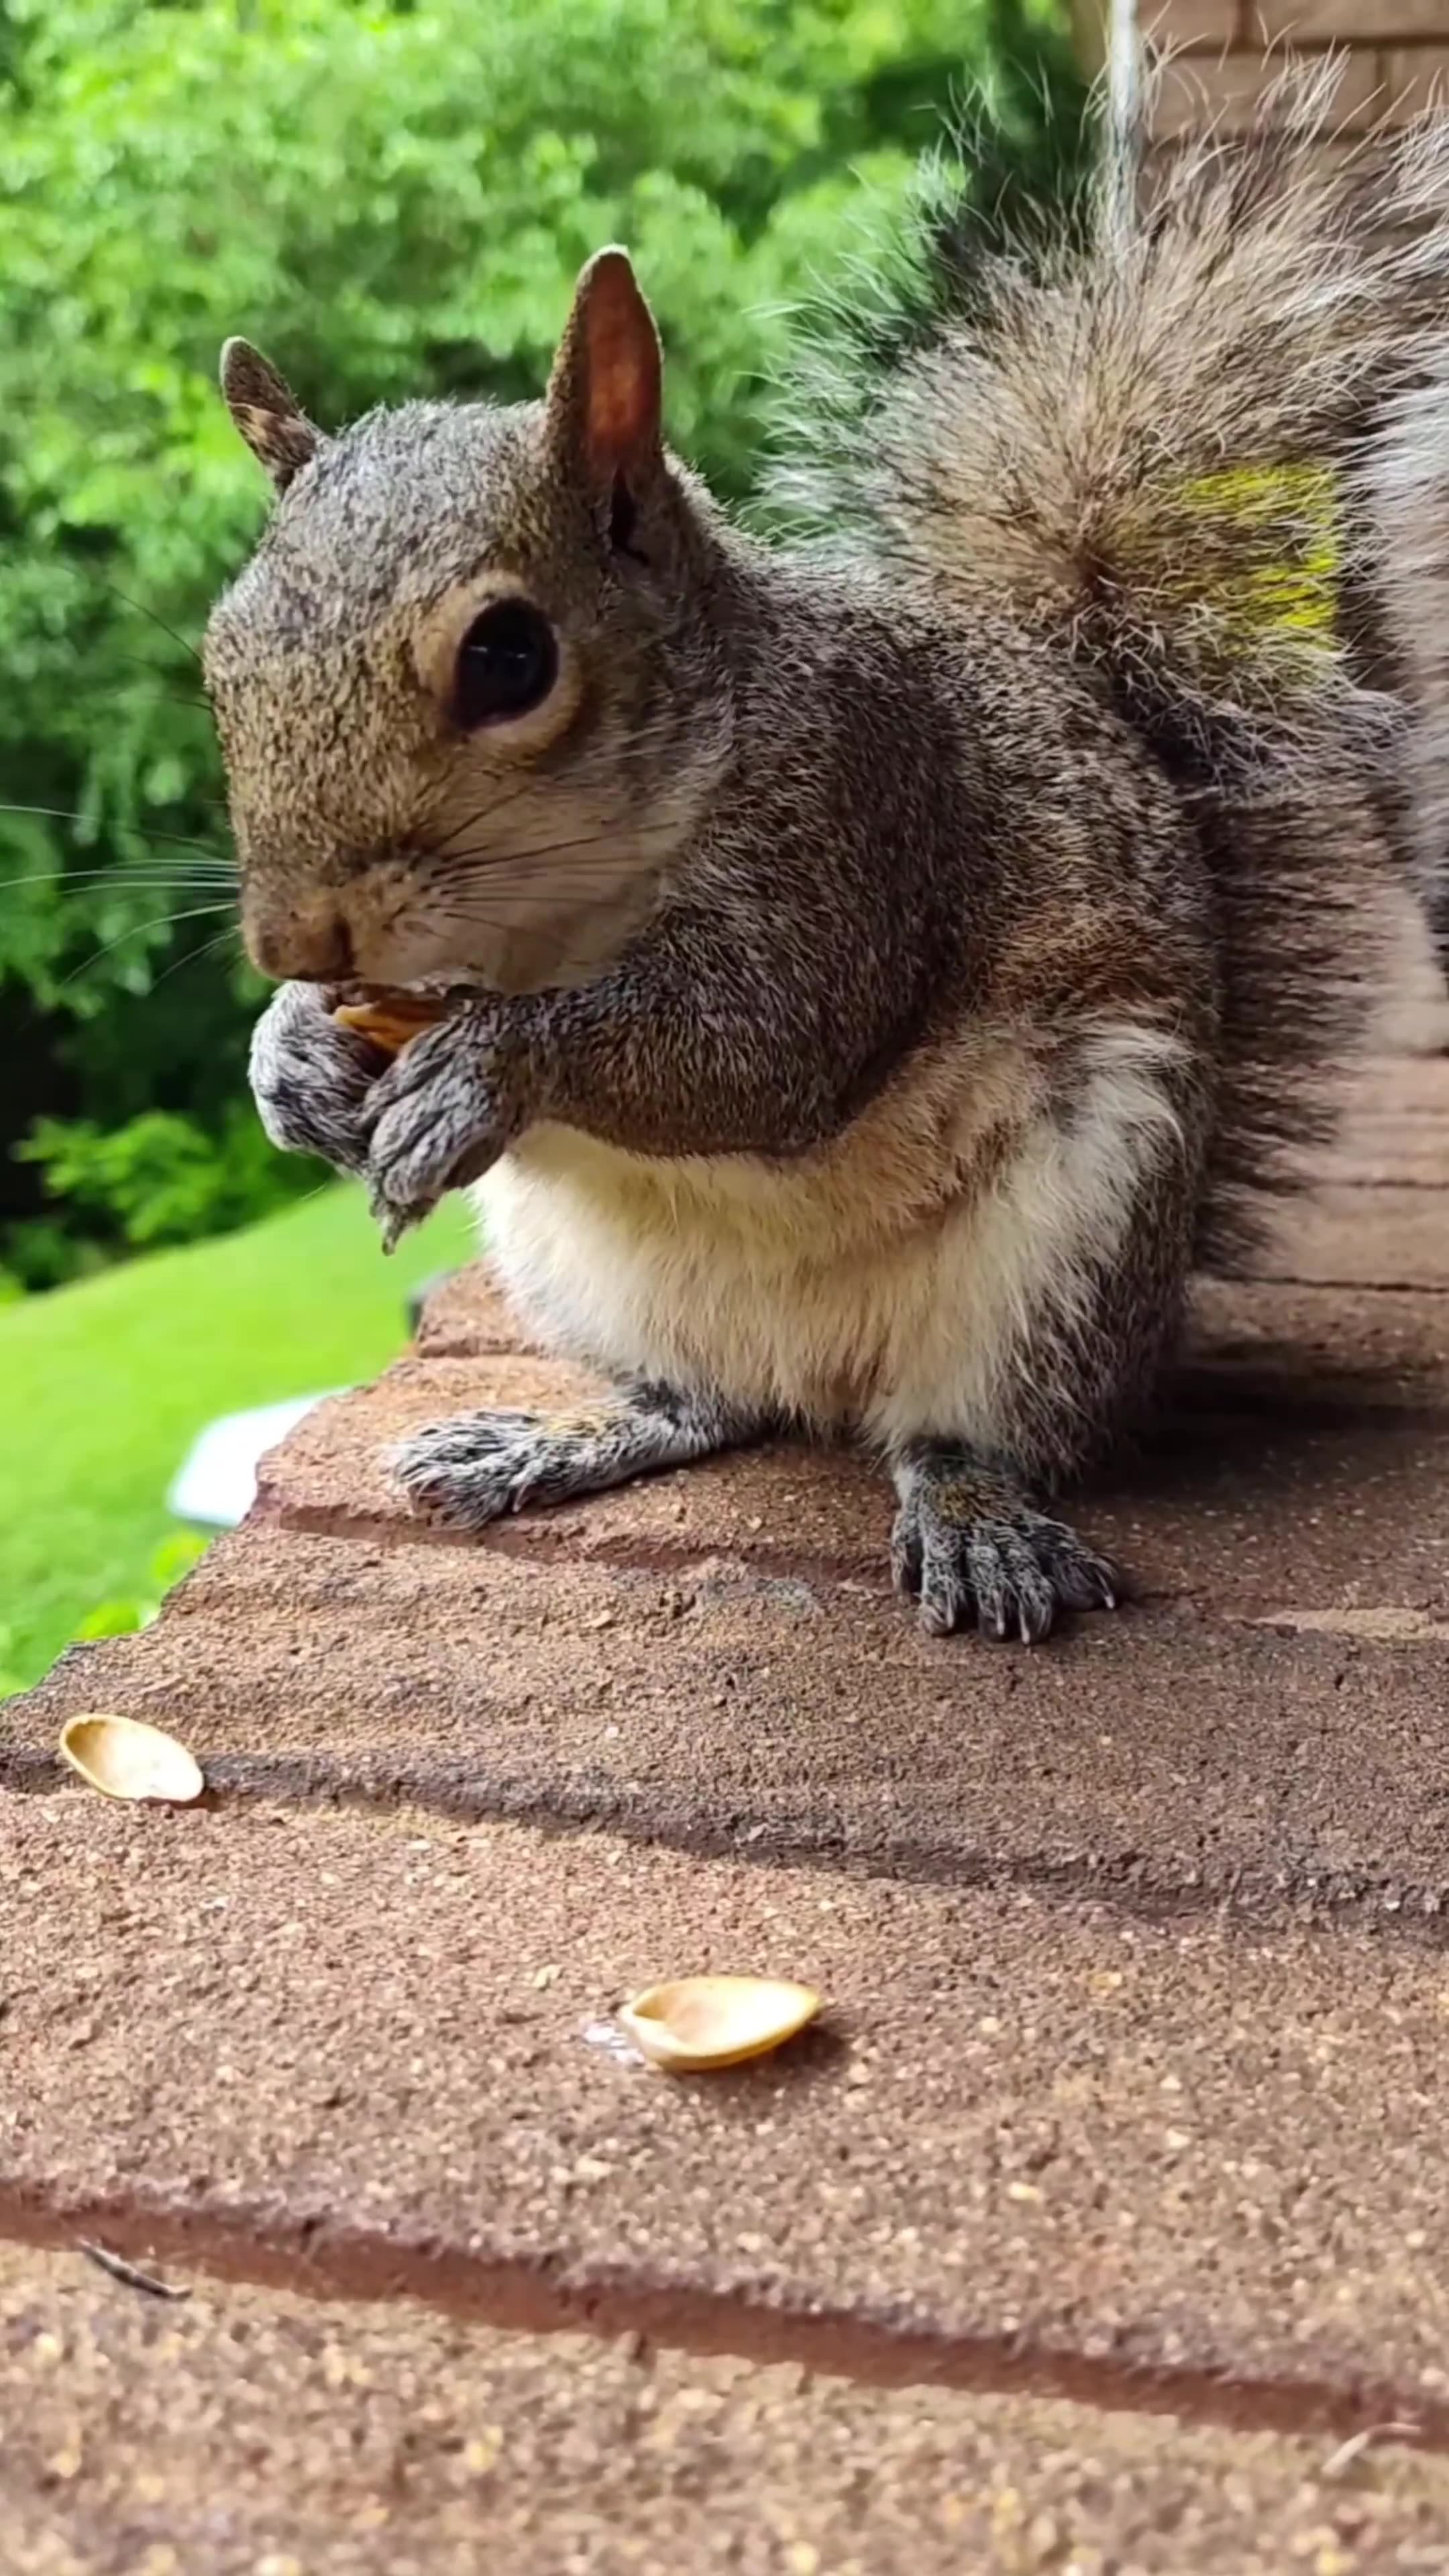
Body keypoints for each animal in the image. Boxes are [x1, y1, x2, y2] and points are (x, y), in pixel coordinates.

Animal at [203, 63, 1449, 1643]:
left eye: (509, 658)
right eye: (220, 654)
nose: (295, 940)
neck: (552, 920)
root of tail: (819, 1376)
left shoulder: (862, 819)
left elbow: (769, 1046)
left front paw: (493, 1068)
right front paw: (290, 1053)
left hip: (1067, 1246)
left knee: (963, 1430)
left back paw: (978, 1522)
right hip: (588, 1280)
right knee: (701, 1407)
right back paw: (551, 1442)